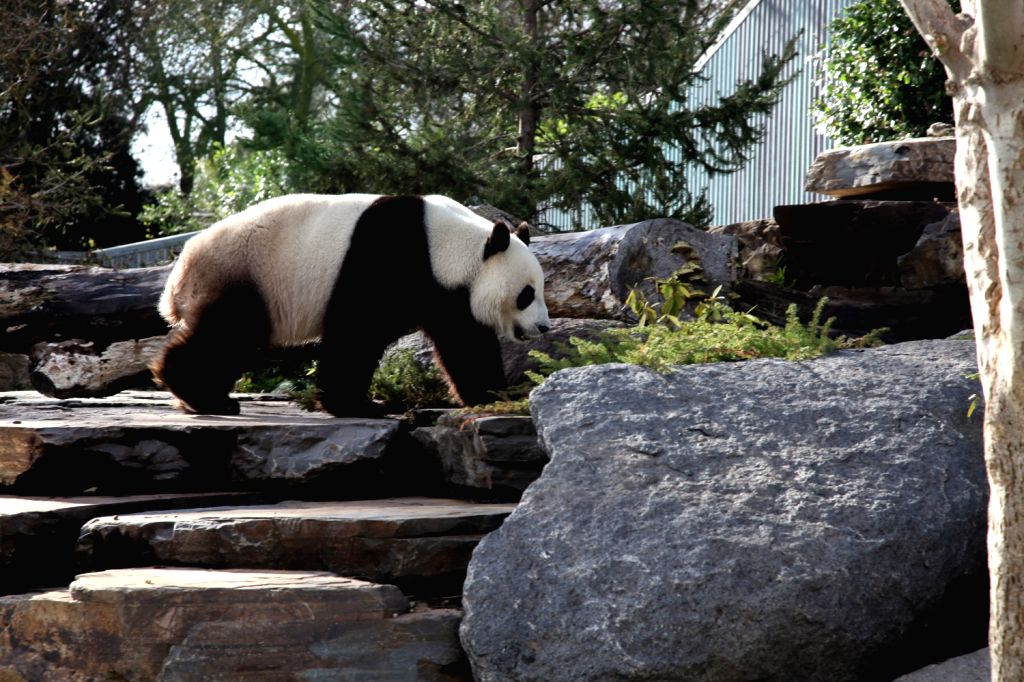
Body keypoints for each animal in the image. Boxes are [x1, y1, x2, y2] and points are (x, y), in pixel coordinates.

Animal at [153, 193, 551, 416]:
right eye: (526, 294)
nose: (543, 327)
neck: (448, 245)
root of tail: (178, 276)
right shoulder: (386, 256)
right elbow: (356, 333)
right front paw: (361, 405)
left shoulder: (447, 293)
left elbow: (466, 343)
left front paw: (496, 396)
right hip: (246, 275)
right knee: (229, 335)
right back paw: (203, 397)